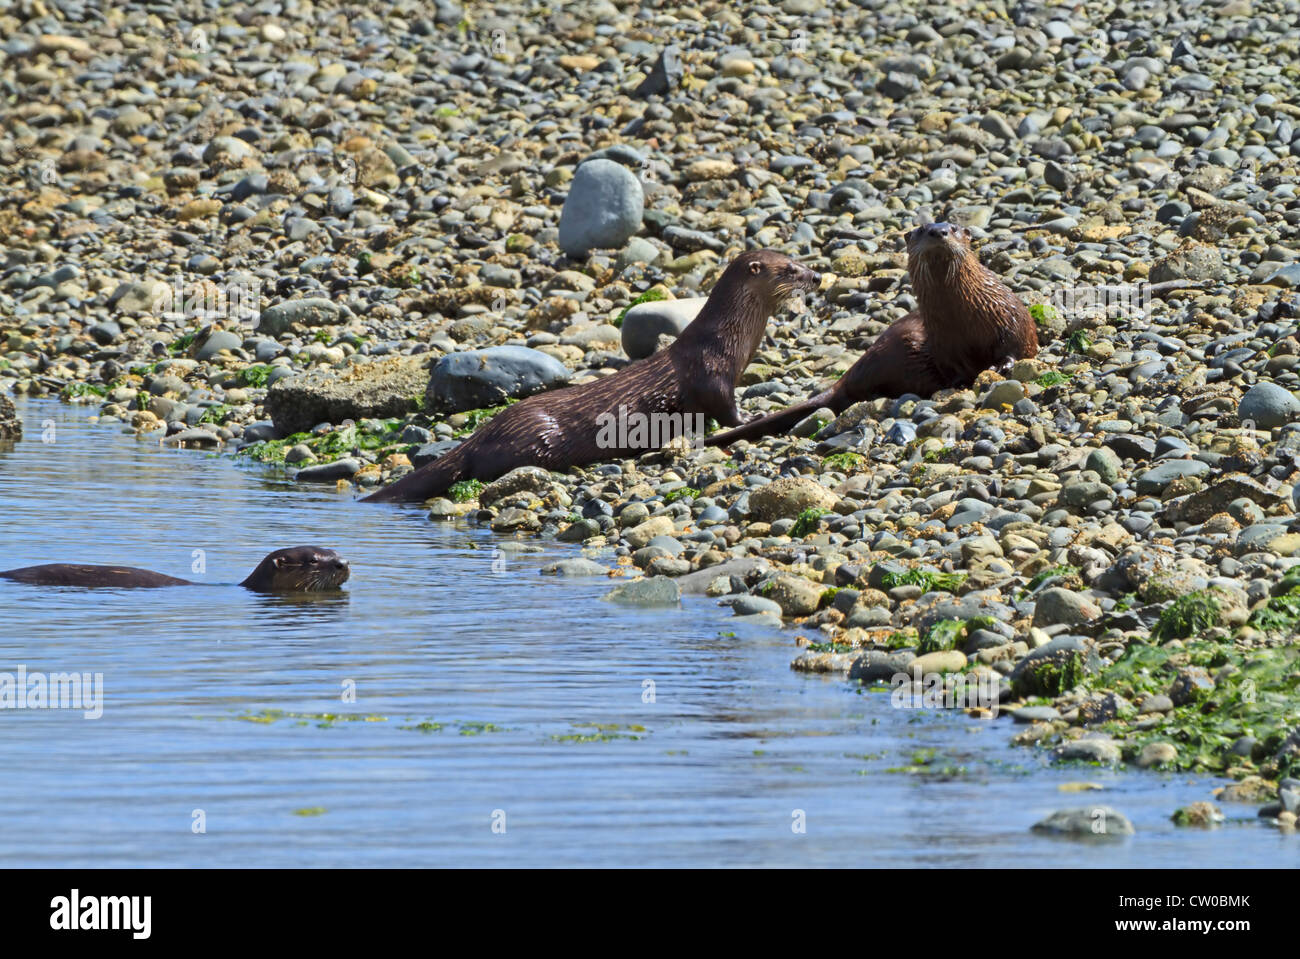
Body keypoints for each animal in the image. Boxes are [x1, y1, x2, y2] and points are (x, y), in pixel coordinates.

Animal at [364, 250, 821, 503]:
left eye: (800, 261)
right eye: (789, 269)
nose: (815, 276)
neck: (730, 339)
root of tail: (484, 431)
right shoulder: (712, 374)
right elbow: (726, 410)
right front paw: (753, 420)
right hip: (533, 437)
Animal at [706, 222, 1038, 446]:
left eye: (953, 228)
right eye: (921, 229)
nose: (938, 232)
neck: (966, 317)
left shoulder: (1009, 317)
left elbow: (1014, 346)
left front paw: (1003, 366)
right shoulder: (944, 344)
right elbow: (954, 369)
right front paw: (960, 383)